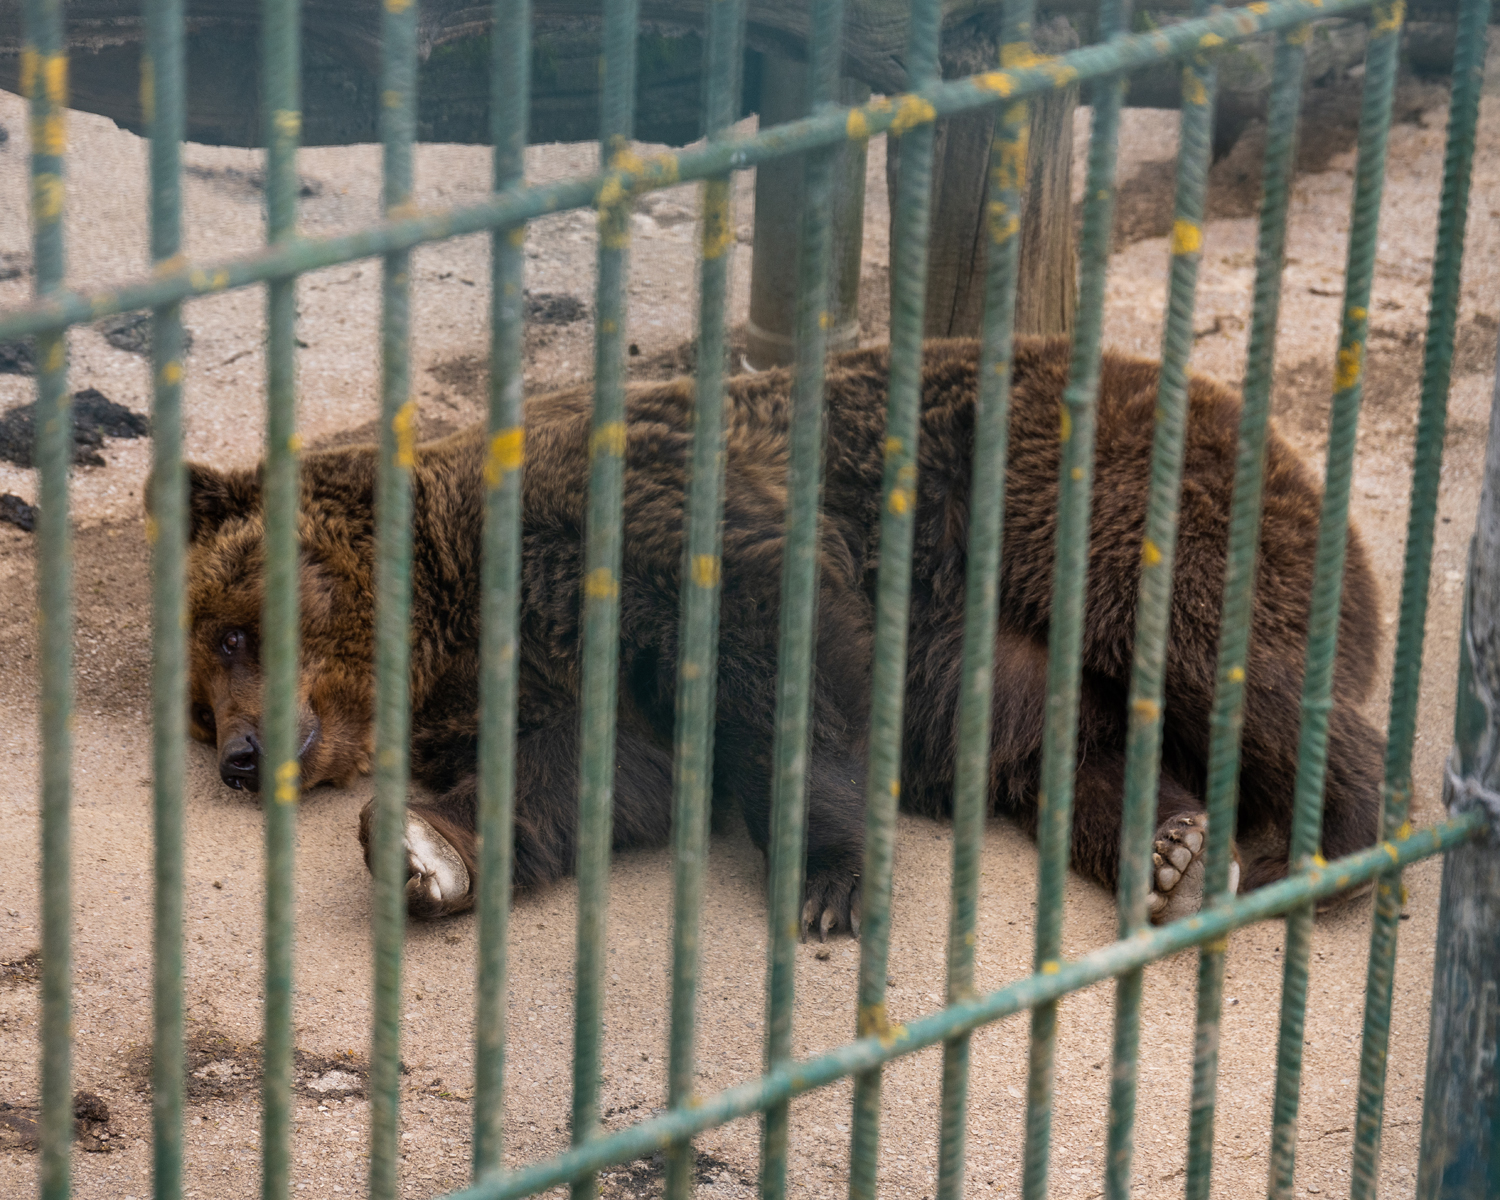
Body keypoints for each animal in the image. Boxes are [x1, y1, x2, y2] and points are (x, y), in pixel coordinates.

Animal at [180, 336, 1384, 935]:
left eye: (232, 636)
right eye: (200, 703)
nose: (239, 755)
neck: (460, 591)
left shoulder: (643, 514)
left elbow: (779, 653)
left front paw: (832, 881)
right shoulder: (553, 668)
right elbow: (591, 773)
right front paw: (426, 847)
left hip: (1104, 500)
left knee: (1220, 659)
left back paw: (1325, 845)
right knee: (1074, 755)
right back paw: (1174, 850)